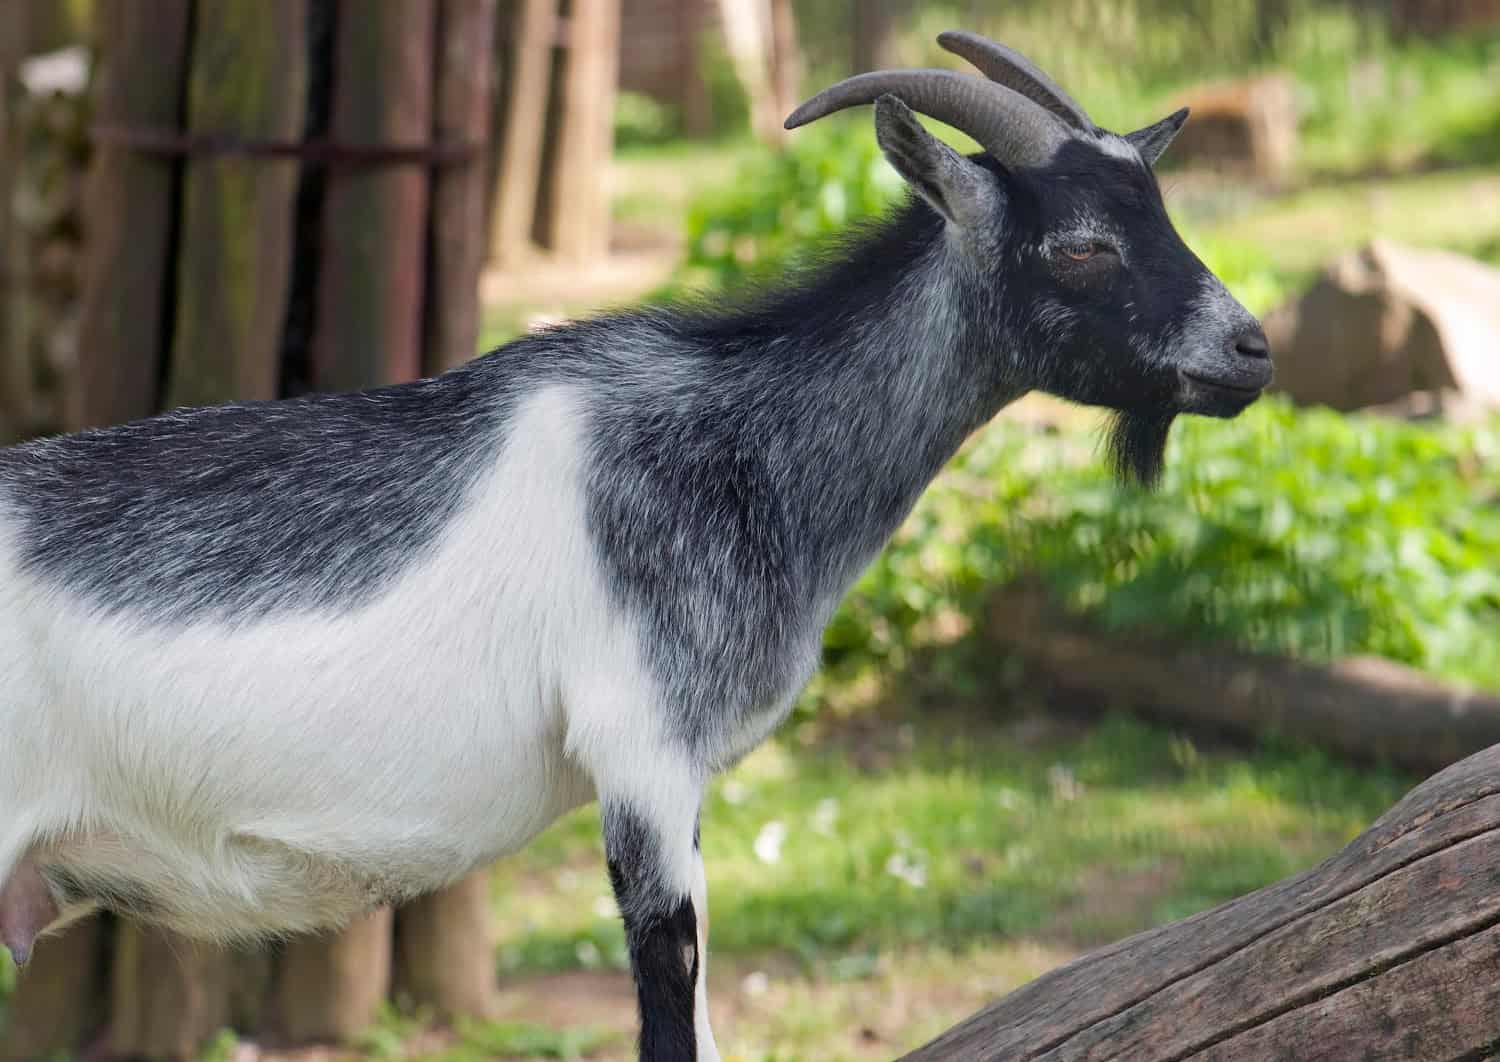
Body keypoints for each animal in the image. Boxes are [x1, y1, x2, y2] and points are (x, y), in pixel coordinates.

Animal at [0, 32, 1271, 1061]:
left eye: (1164, 211)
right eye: (1083, 246)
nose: (1251, 350)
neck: (732, 441)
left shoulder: (680, 774)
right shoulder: (641, 748)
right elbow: (672, 1008)